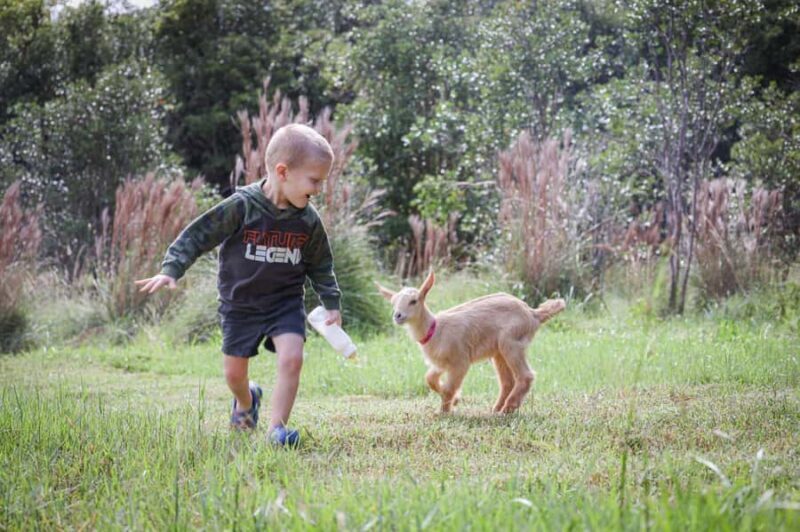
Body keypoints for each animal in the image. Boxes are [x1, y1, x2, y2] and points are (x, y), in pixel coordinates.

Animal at [377, 271, 565, 414]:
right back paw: (497, 408)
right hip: (499, 351)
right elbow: (429, 379)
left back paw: (508, 408)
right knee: (507, 381)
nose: (398, 316)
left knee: (525, 375)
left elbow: (449, 388)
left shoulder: (460, 361)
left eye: (414, 301)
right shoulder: (441, 363)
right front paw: (455, 400)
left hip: (512, 343)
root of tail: (533, 313)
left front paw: (444, 411)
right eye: (393, 303)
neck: (435, 330)